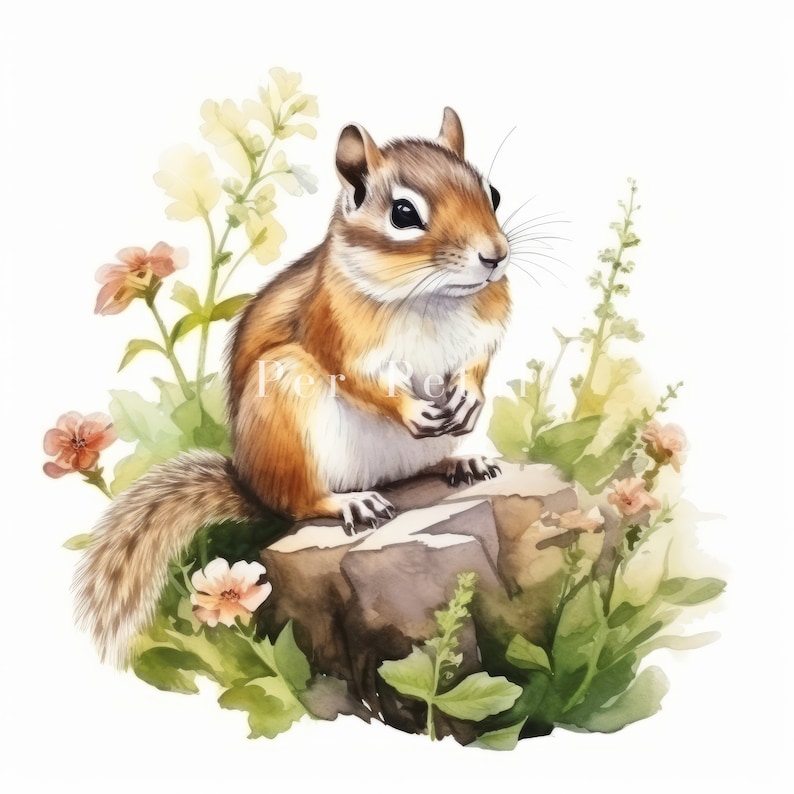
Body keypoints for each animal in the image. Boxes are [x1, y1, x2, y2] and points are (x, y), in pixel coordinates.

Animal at [73, 107, 512, 667]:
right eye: (403, 214)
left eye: (492, 193)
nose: (495, 256)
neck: (430, 296)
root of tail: (252, 485)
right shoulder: (333, 331)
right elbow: (363, 381)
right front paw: (410, 410)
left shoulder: (486, 327)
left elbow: (476, 364)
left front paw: (469, 398)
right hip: (286, 402)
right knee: (299, 502)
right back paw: (350, 503)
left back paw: (462, 460)